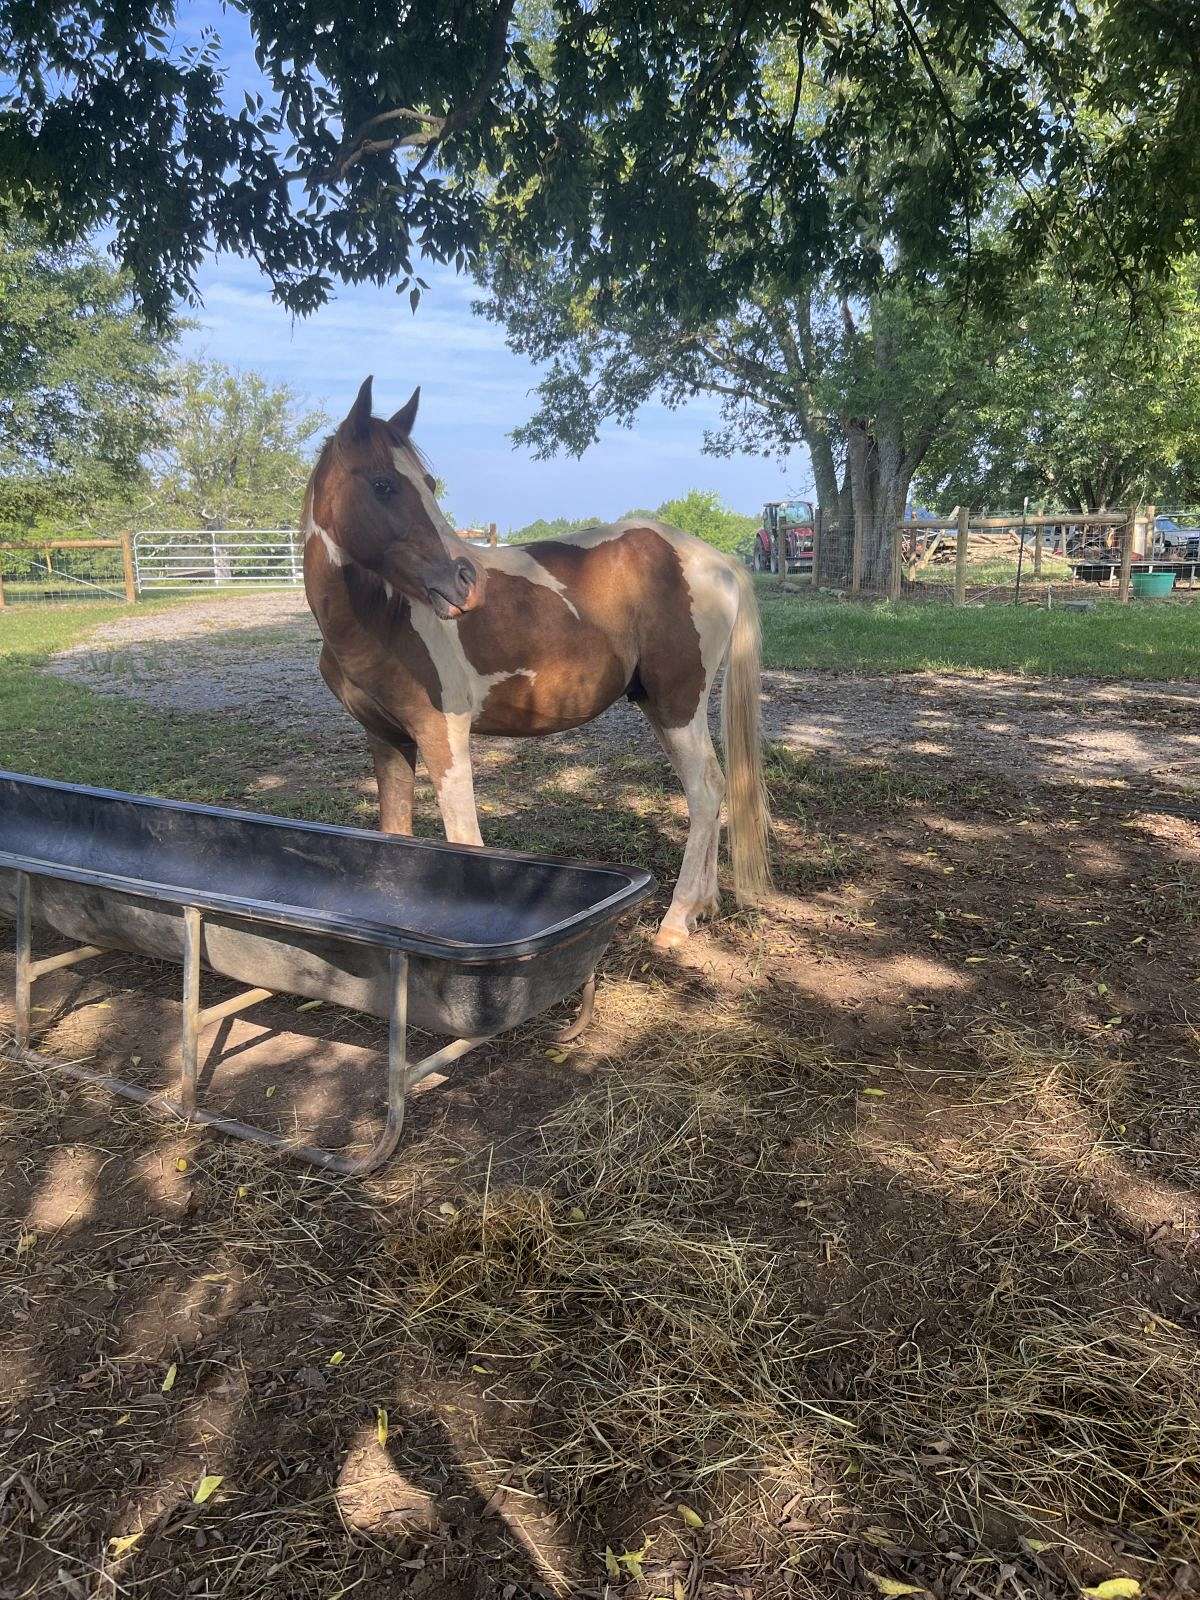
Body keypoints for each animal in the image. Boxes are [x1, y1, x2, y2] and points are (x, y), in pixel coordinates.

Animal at [302, 377, 771, 948]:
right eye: (383, 485)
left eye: (428, 484)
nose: (467, 581)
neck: (381, 614)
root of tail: (717, 561)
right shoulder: (387, 738)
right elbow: (395, 836)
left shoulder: (443, 736)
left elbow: (464, 842)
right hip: (662, 707)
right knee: (712, 787)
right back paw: (704, 905)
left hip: (677, 704)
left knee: (705, 791)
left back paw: (677, 920)